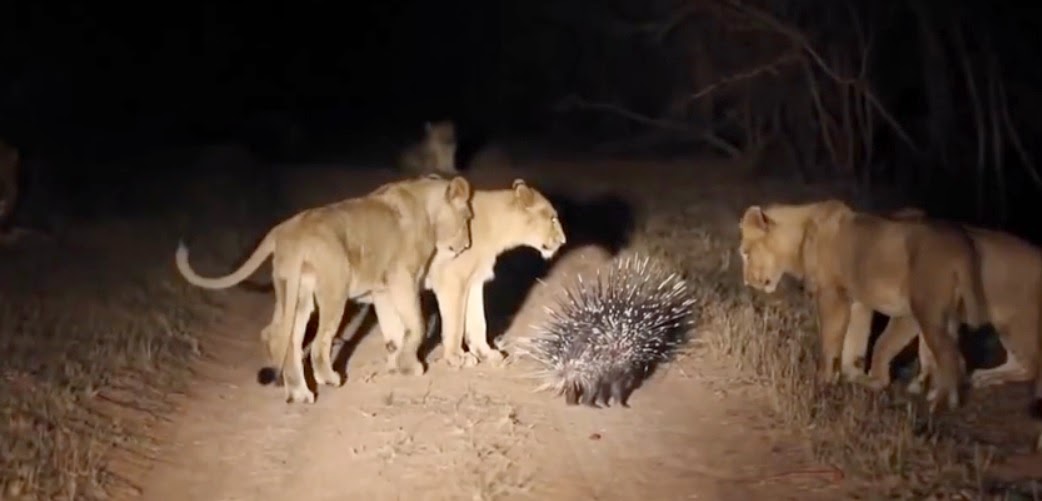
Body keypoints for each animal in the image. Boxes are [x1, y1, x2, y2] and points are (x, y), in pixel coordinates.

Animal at [175, 175, 474, 404]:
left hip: (295, 291)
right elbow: (416, 325)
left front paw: (397, 364)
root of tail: (285, 231)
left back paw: (299, 393)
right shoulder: (402, 277)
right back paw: (327, 378)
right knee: (318, 343)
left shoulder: (382, 290)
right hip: (335, 286)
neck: (425, 205)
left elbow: (393, 332)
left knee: (279, 336)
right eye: (467, 217)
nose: (467, 246)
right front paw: (412, 366)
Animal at [336, 179, 567, 368]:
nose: (564, 241)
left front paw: (486, 353)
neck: (497, 228)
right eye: (553, 219)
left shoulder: (475, 282)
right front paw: (456, 357)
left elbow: (477, 322)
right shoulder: (452, 282)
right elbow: (455, 324)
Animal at [738, 199, 989, 410]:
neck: (800, 237)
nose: (746, 281)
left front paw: (823, 380)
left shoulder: (832, 295)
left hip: (929, 311)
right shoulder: (857, 301)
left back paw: (943, 401)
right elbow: (855, 340)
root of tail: (962, 248)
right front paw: (852, 375)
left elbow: (831, 341)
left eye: (746, 253)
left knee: (948, 355)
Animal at [846, 208, 1042, 413]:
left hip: (1018, 324)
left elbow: (888, 343)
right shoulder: (937, 315)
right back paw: (981, 377)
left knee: (1031, 367)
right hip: (1006, 327)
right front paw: (926, 384)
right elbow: (929, 352)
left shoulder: (915, 313)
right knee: (1020, 364)